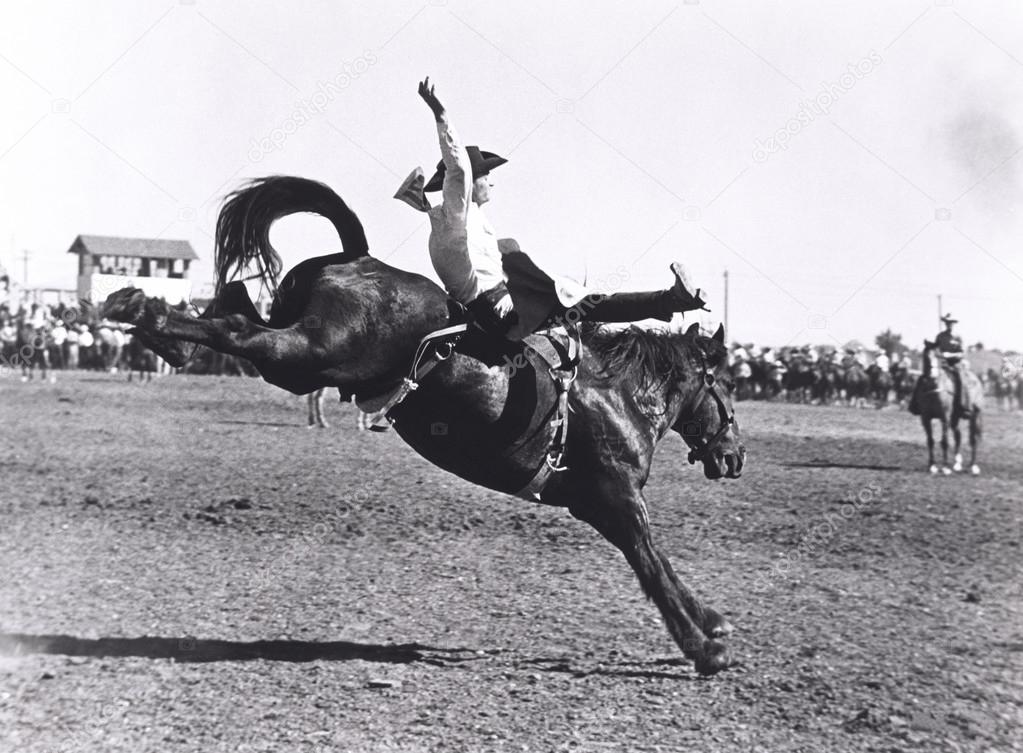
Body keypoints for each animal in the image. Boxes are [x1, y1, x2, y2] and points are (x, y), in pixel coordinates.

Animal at [102, 176, 746, 675]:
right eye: (728, 382)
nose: (734, 456)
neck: (613, 394)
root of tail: (358, 259)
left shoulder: (598, 505)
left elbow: (655, 564)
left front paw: (712, 626)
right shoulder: (614, 500)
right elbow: (652, 566)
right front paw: (706, 647)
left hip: (298, 357)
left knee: (234, 302)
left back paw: (155, 326)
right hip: (312, 354)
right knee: (237, 329)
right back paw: (136, 308)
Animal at [909, 341, 983, 475]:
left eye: (938, 356)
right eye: (925, 356)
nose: (932, 375)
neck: (934, 388)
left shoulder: (944, 417)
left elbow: (944, 441)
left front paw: (945, 467)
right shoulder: (926, 418)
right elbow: (930, 440)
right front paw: (932, 466)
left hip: (975, 415)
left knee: (973, 439)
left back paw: (973, 466)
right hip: (955, 417)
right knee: (958, 436)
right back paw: (957, 464)